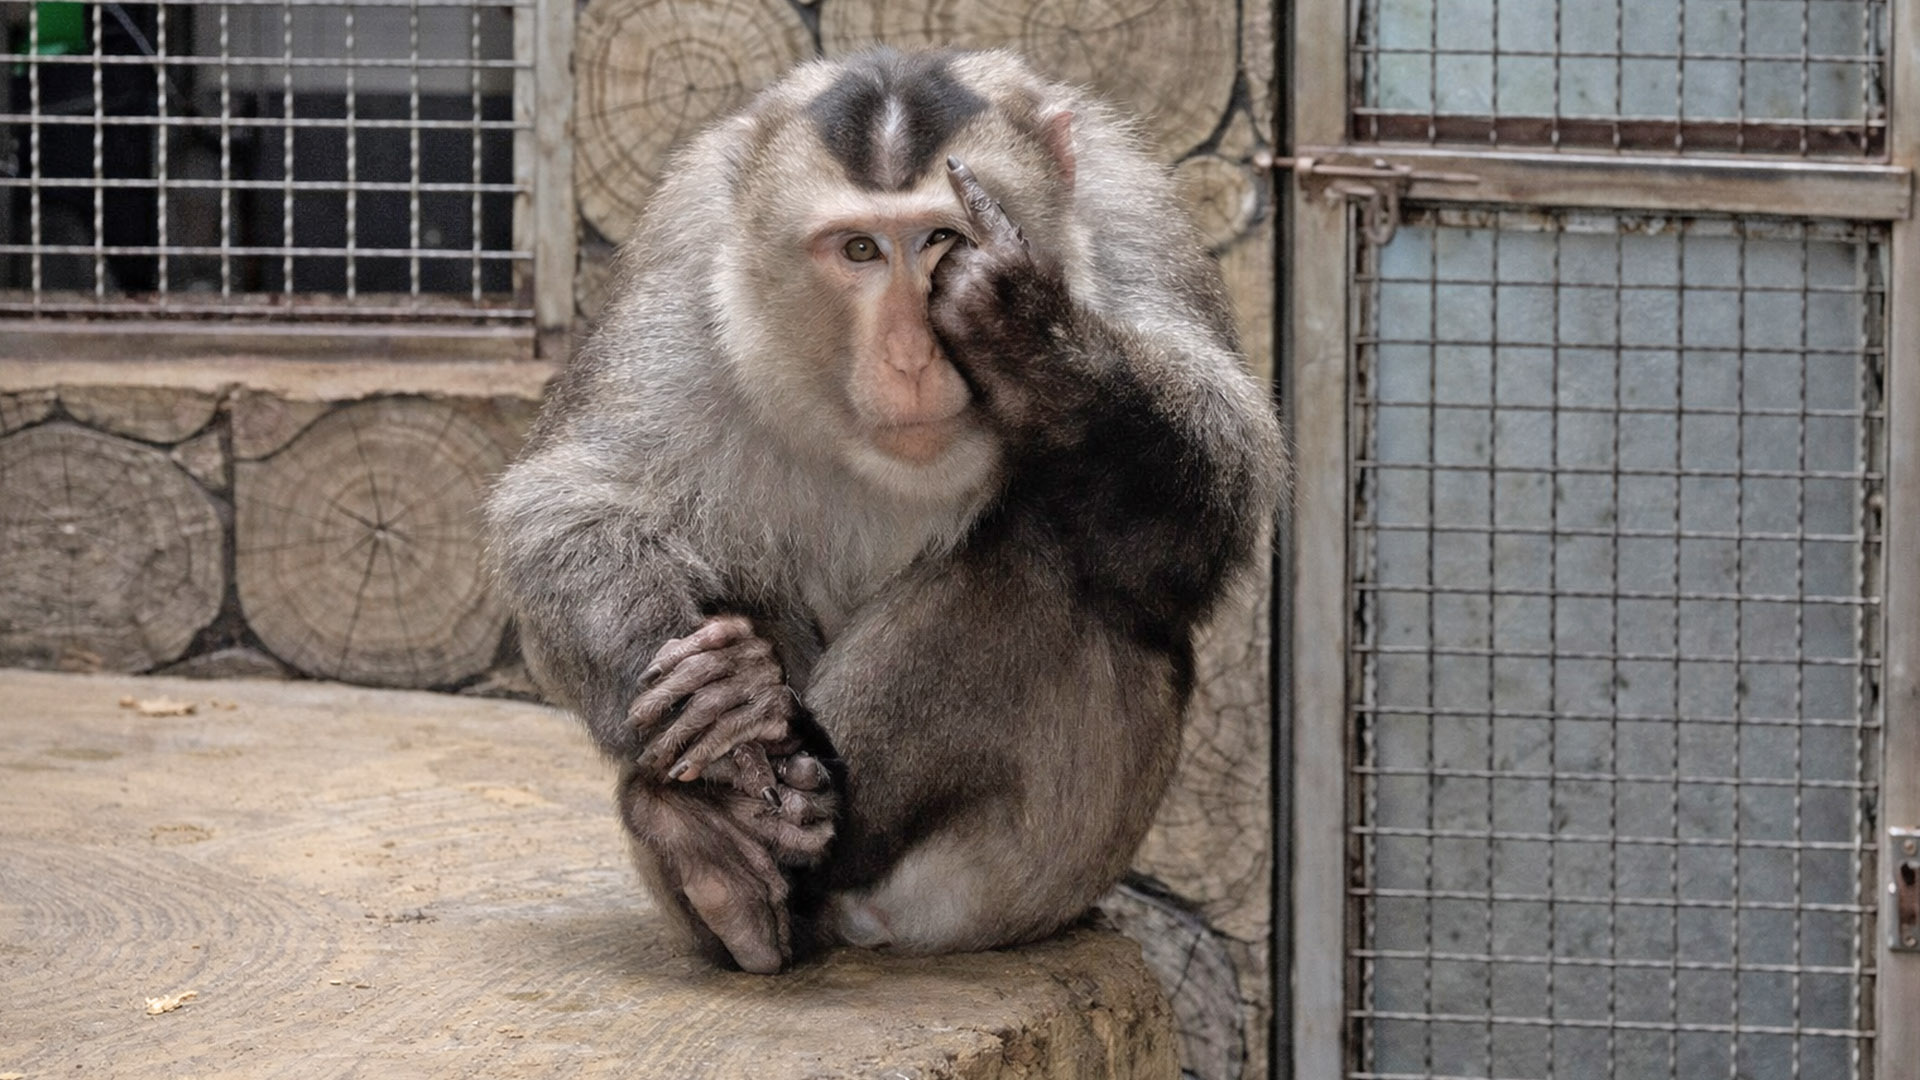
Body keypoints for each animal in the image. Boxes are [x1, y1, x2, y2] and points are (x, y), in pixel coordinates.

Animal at [485, 47, 1286, 975]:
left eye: (943, 239)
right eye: (860, 249)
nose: (909, 356)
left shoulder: (1136, 221)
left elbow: (1219, 496)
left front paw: (1023, 330)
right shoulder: (686, 250)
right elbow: (571, 498)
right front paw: (717, 699)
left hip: (1029, 875)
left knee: (1043, 552)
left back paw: (790, 839)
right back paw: (716, 847)